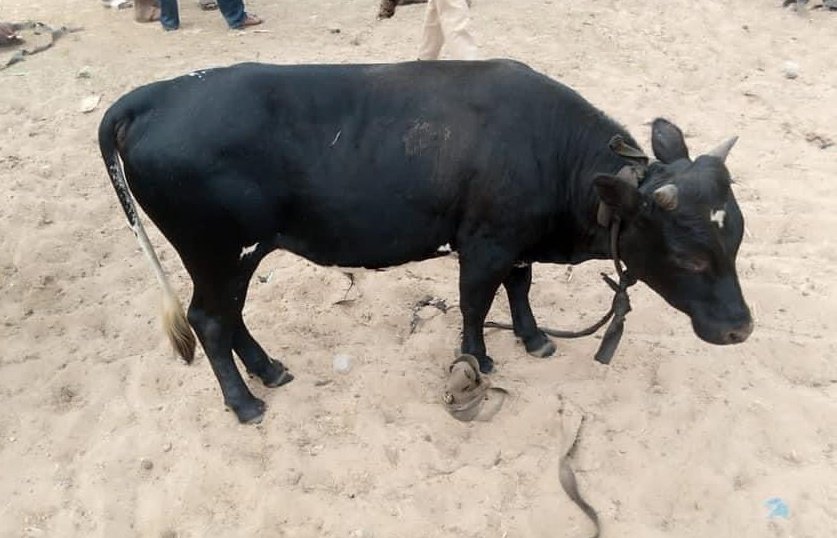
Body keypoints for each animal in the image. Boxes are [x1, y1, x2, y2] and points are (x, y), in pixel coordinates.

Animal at [98, 60, 753, 424]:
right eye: (691, 255)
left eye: (737, 239)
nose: (741, 329)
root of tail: (155, 96)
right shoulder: (484, 243)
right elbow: (476, 304)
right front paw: (479, 360)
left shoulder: (516, 240)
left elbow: (520, 288)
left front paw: (535, 339)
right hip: (216, 252)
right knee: (210, 321)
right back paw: (245, 403)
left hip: (237, 256)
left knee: (228, 317)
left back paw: (271, 370)